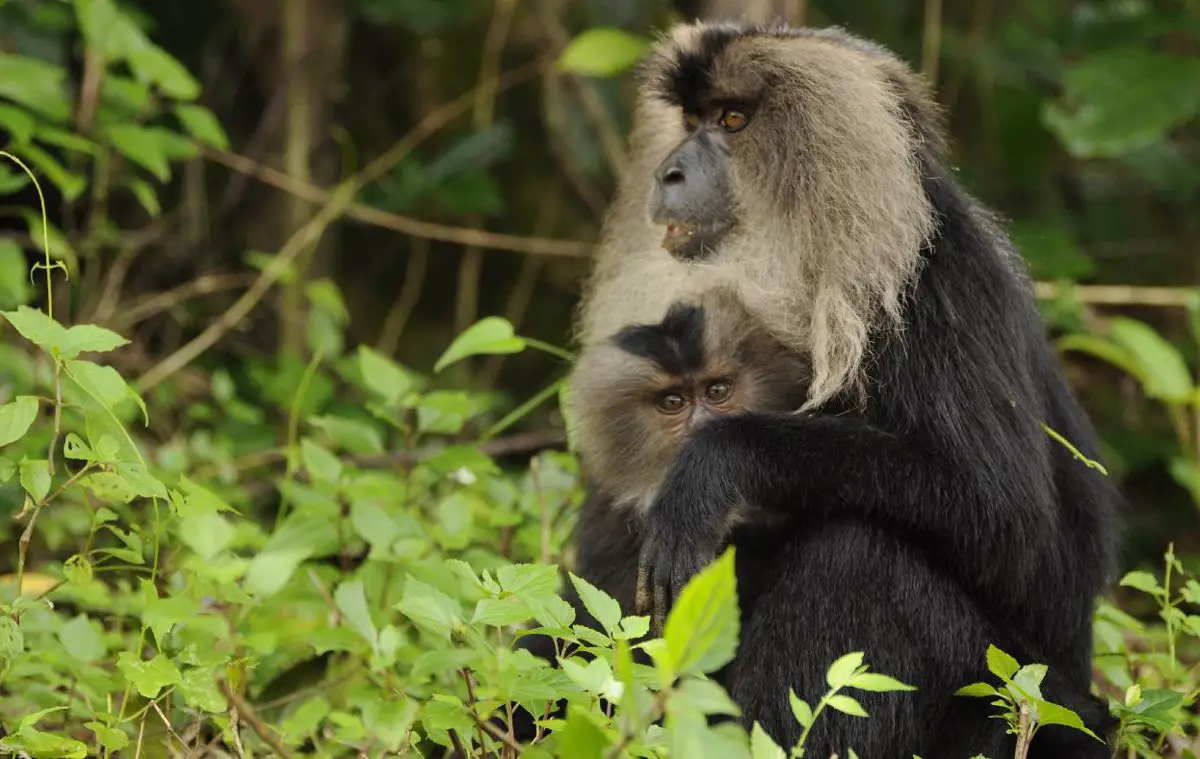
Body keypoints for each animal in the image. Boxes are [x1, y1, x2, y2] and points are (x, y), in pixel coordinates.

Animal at [559, 20, 1123, 759]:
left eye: (733, 120)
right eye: (691, 121)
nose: (670, 171)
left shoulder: (938, 282)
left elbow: (1007, 520)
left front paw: (717, 463)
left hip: (1013, 700)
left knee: (857, 553)